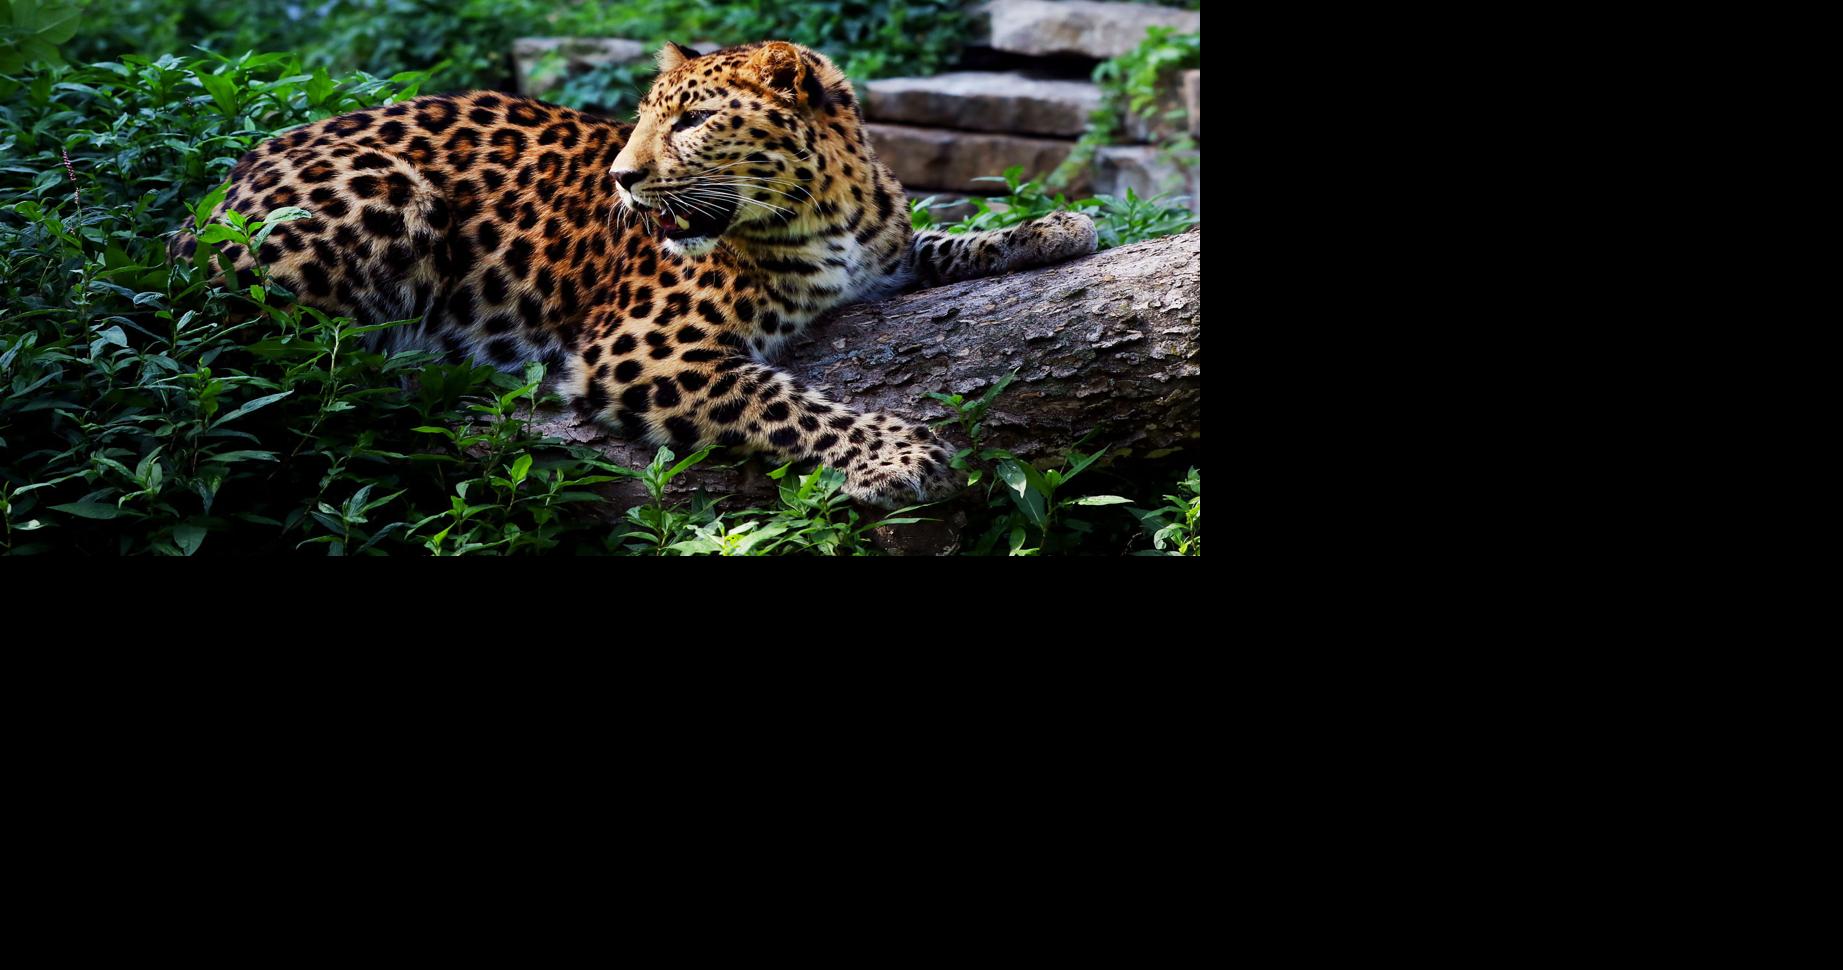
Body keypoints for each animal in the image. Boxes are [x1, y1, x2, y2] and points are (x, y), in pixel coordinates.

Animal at [170, 40, 1098, 507]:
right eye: (644, 118)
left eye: (692, 121)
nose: (620, 177)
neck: (825, 210)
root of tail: (203, 208)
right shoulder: (648, 350)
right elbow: (789, 402)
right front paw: (900, 455)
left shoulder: (885, 253)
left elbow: (942, 240)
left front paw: (1053, 227)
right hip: (380, 190)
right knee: (280, 356)